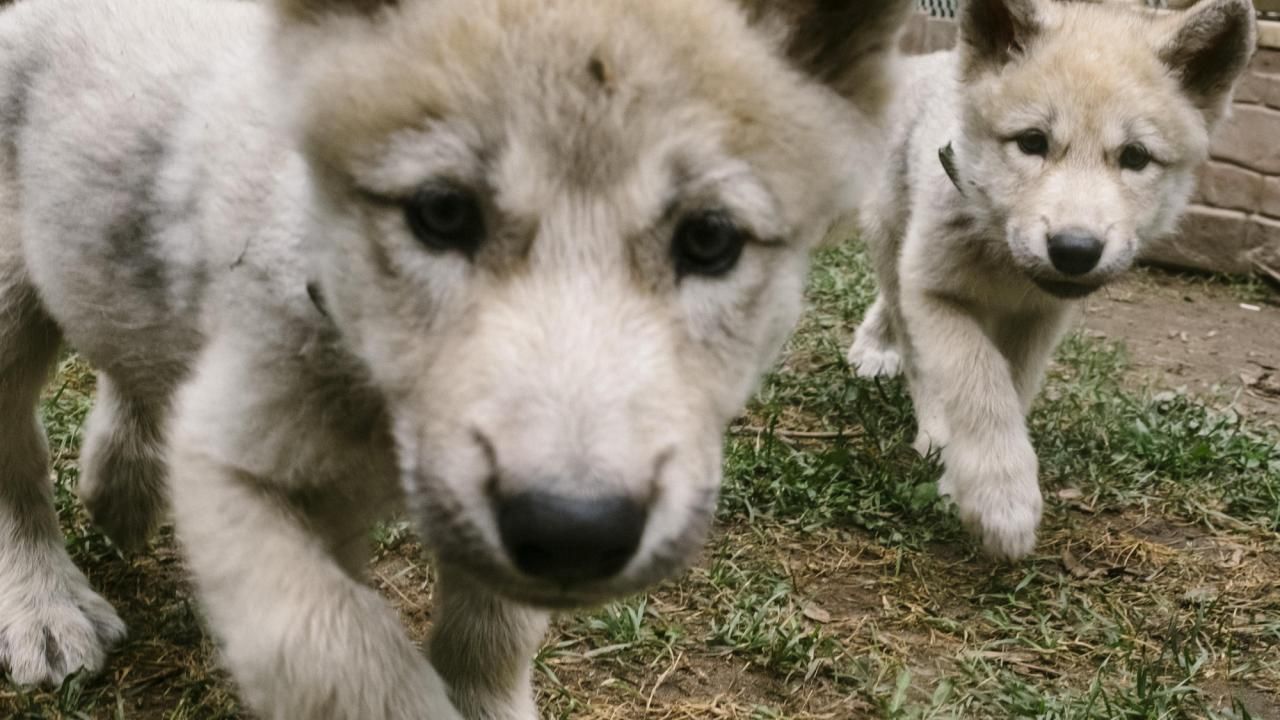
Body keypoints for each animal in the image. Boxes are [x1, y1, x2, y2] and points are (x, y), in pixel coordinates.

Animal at [0, 0, 911, 716]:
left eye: (711, 240)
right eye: (440, 213)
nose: (577, 534)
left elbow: (491, 635)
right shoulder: (235, 466)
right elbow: (346, 655)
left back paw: (120, 489)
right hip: (8, 308)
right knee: (19, 464)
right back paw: (46, 606)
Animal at [846, 0, 1256, 561]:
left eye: (1135, 156)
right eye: (1032, 143)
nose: (1074, 251)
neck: (1001, 251)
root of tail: (929, 60)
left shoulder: (1038, 316)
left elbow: (1012, 387)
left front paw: (976, 478)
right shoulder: (932, 290)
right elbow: (976, 379)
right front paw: (999, 497)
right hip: (890, 231)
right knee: (910, 337)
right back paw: (910, 397)